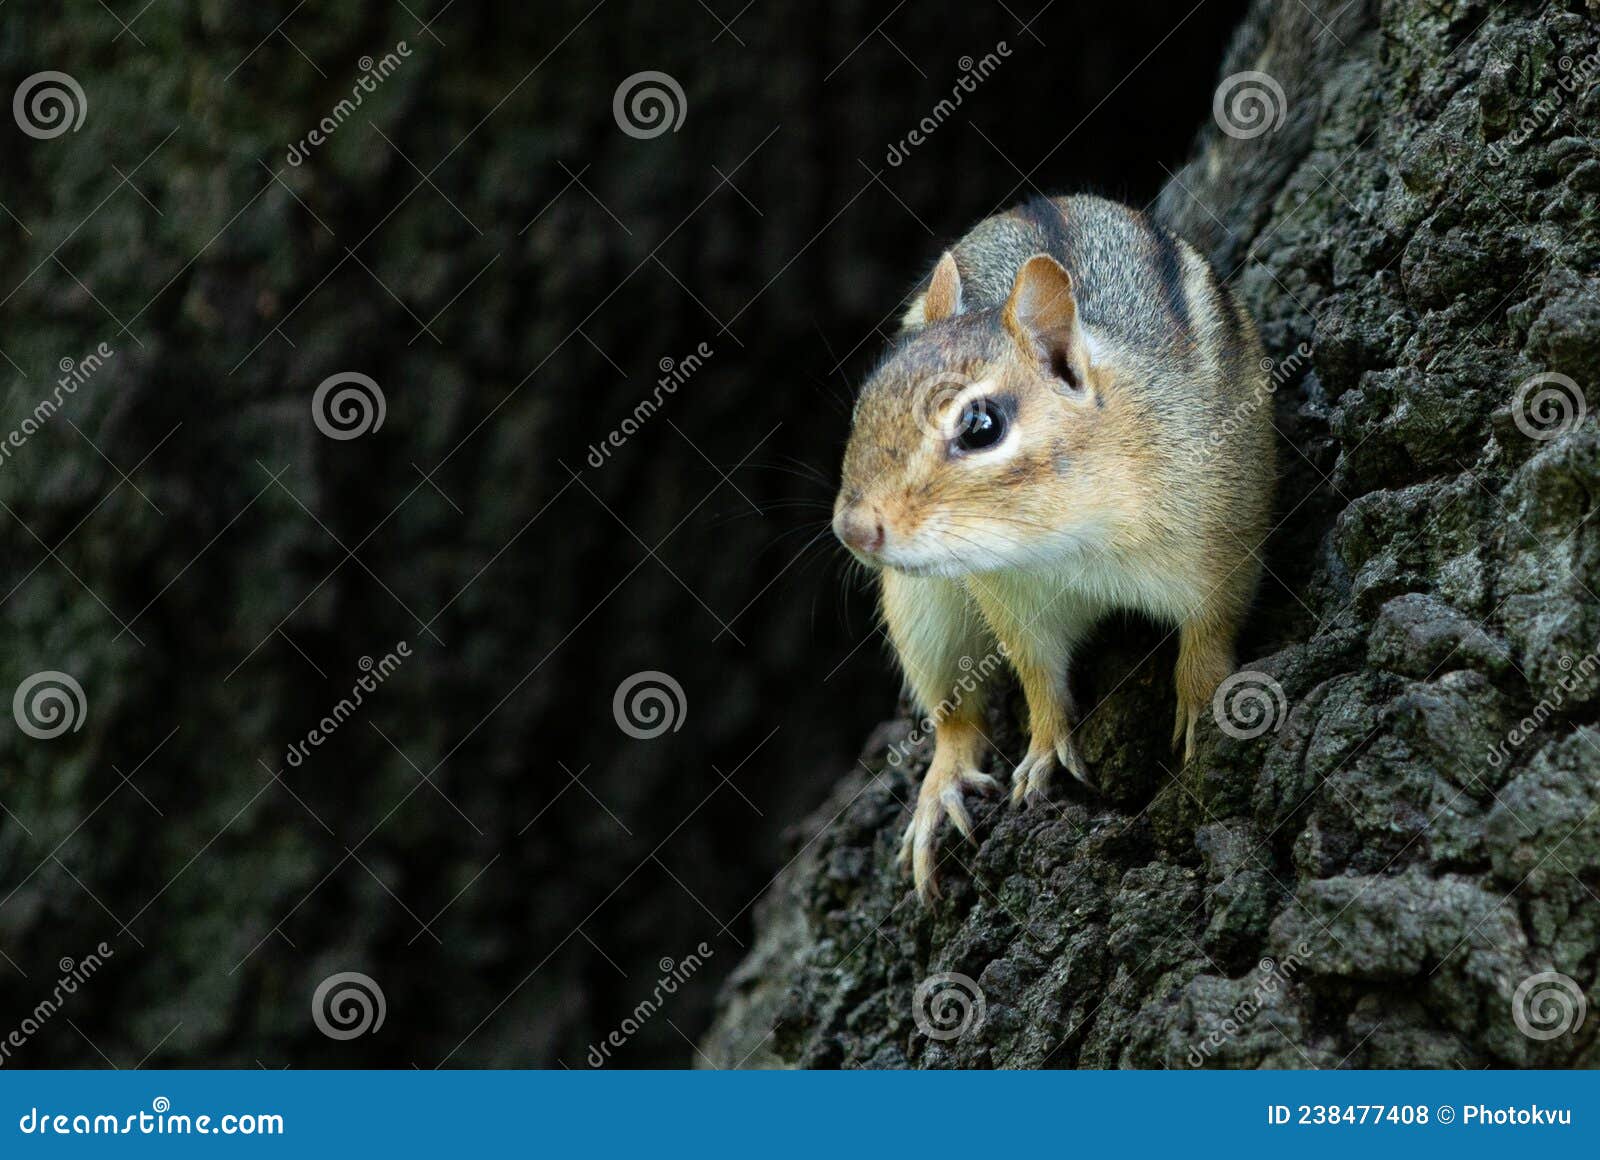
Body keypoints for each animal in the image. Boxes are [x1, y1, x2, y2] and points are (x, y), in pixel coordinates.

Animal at [832, 194, 1275, 903]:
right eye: (866, 403)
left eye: (980, 425)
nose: (852, 530)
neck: (1071, 539)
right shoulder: (1015, 601)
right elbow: (1038, 675)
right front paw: (1043, 749)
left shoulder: (1223, 540)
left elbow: (1210, 632)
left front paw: (1201, 707)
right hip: (918, 610)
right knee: (952, 714)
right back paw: (940, 790)